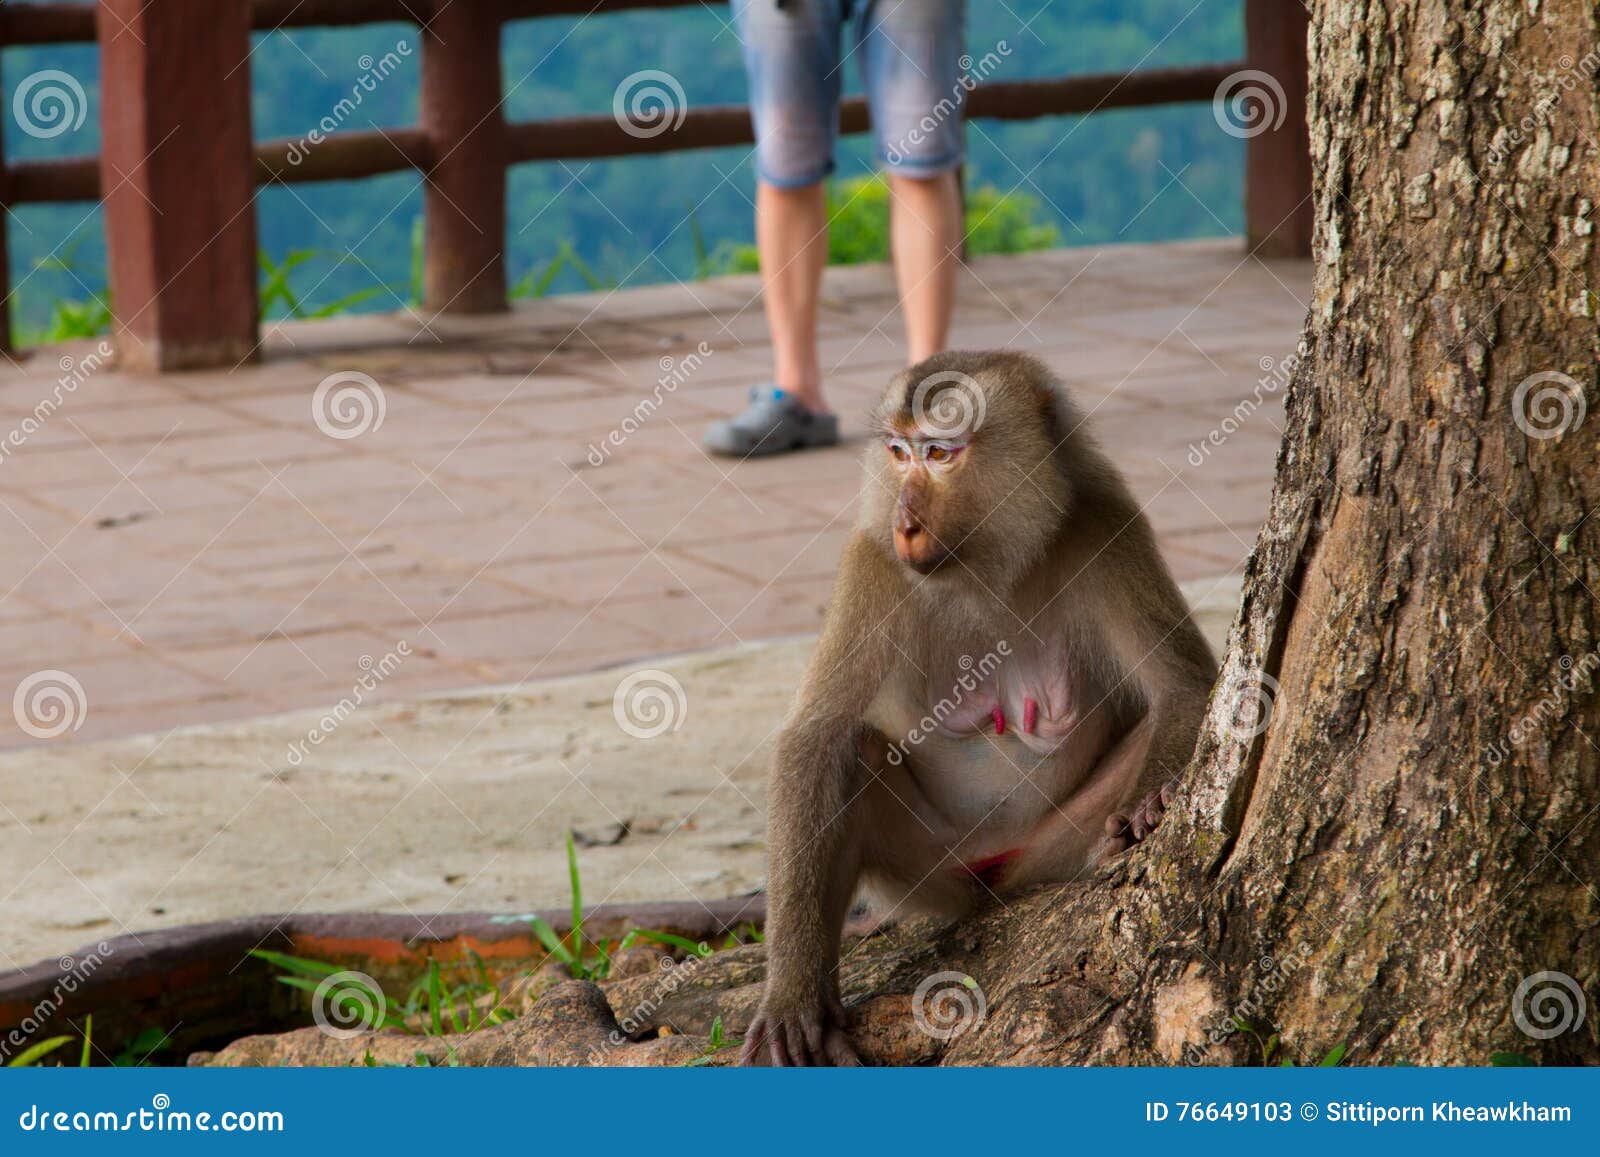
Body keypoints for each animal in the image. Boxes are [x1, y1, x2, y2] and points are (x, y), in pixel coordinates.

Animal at [738, 350, 1219, 1066]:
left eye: (940, 454)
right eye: (898, 452)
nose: (906, 521)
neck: (985, 561)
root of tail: (987, 871)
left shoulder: (1105, 523)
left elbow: (1183, 685)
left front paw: (1149, 805)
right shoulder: (872, 561)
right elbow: (816, 737)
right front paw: (792, 992)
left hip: (1041, 849)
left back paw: (1102, 848)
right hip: (926, 870)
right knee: (854, 749)